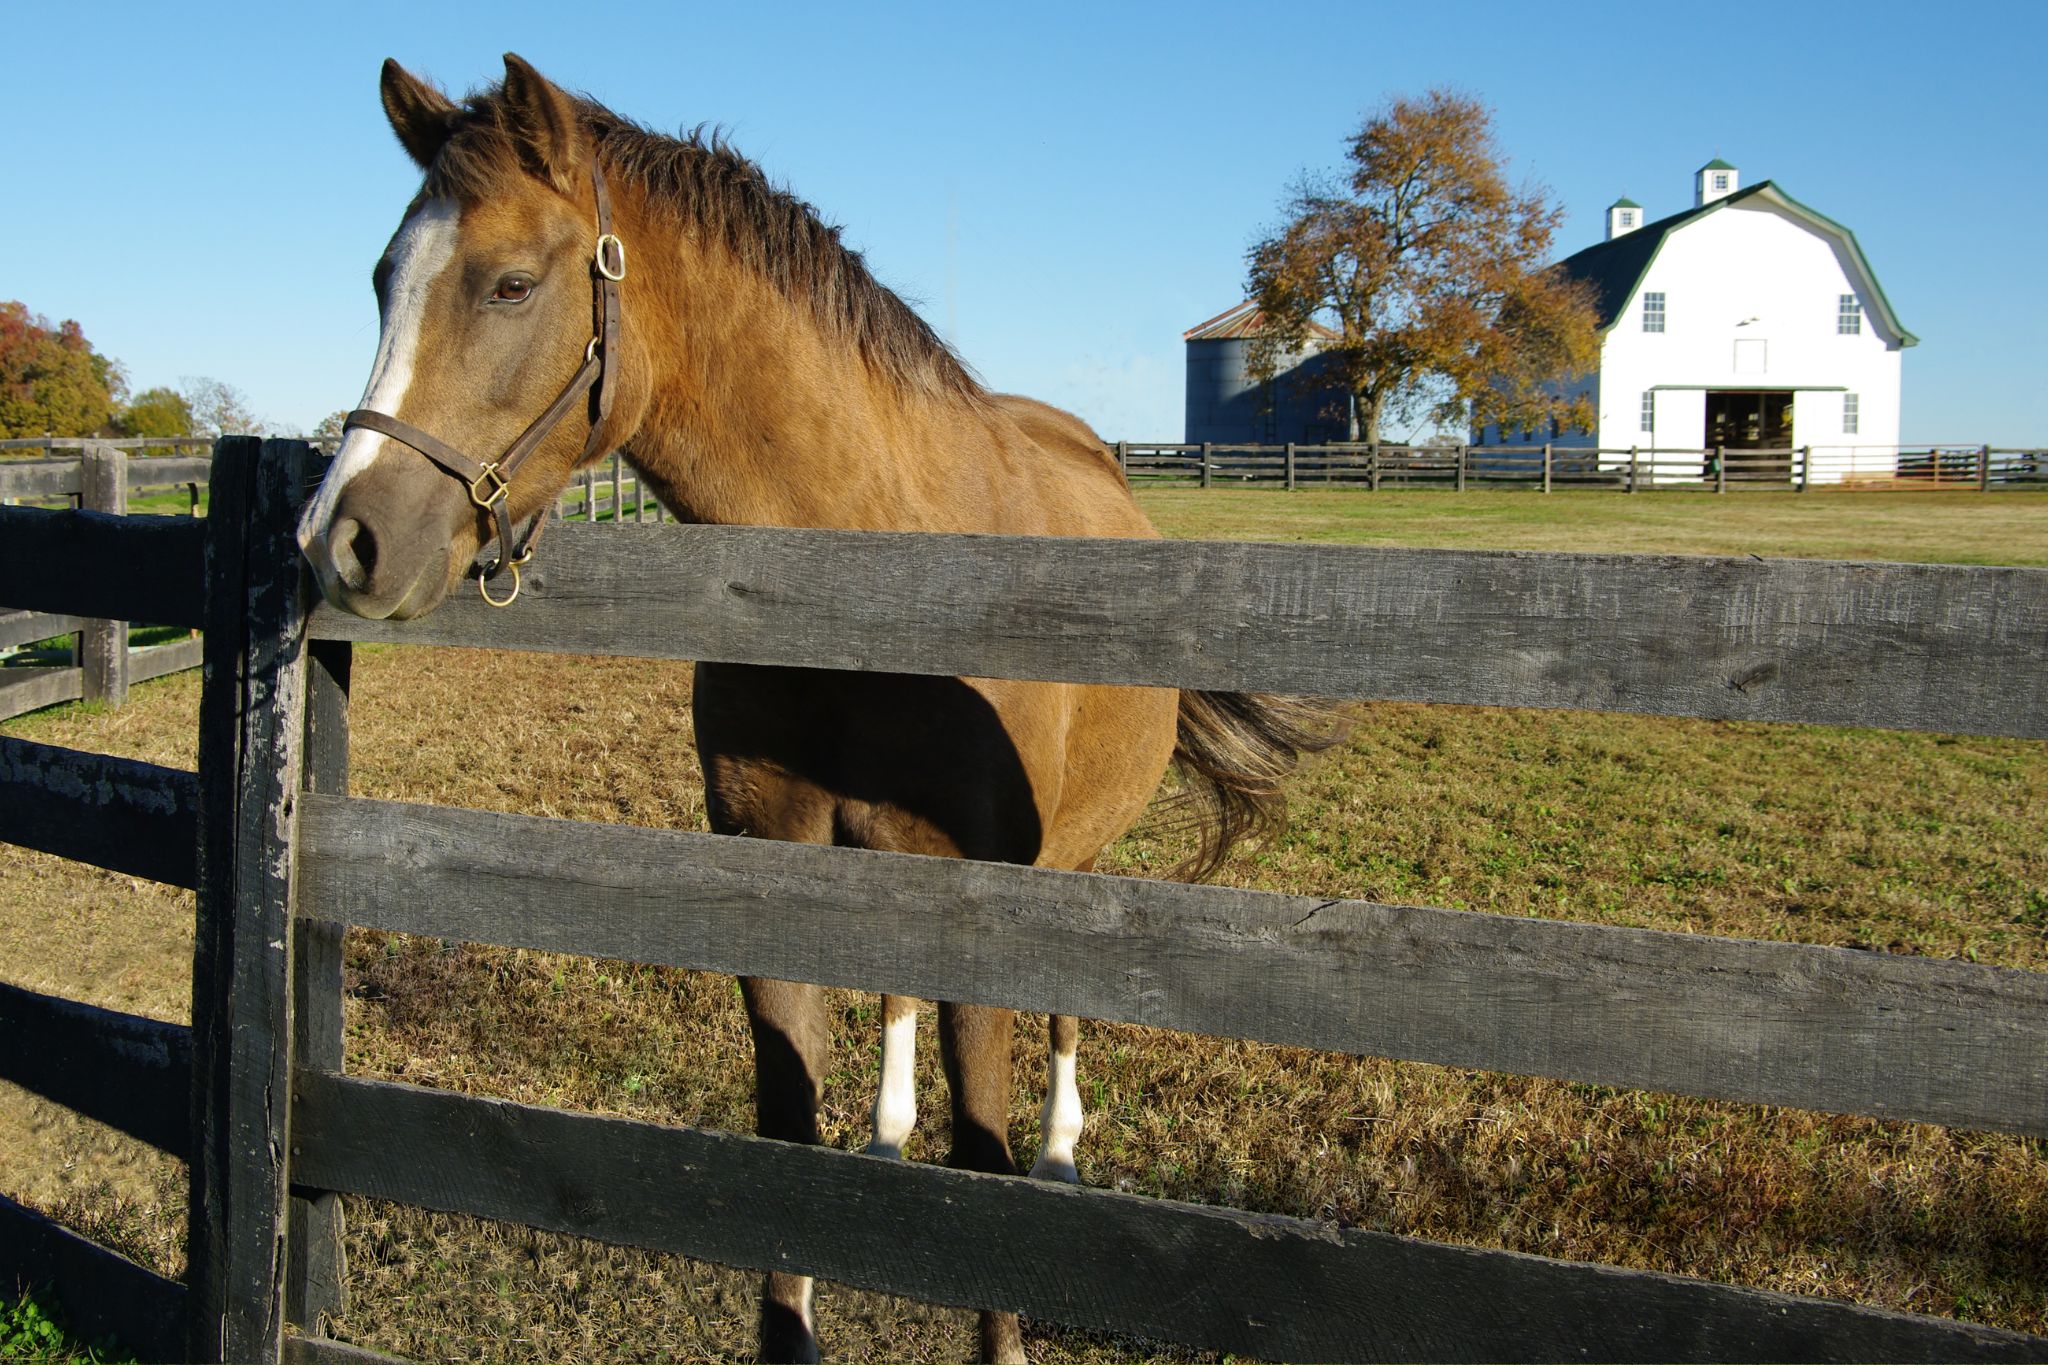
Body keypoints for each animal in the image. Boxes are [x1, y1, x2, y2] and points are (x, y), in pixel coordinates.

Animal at [297, 53, 1336, 1364]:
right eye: (384, 279)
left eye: (512, 282)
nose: (341, 539)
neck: (873, 582)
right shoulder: (777, 873)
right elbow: (788, 1140)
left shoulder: (984, 904)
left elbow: (983, 1153)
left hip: (1066, 862)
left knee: (1058, 1019)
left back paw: (1060, 1150)